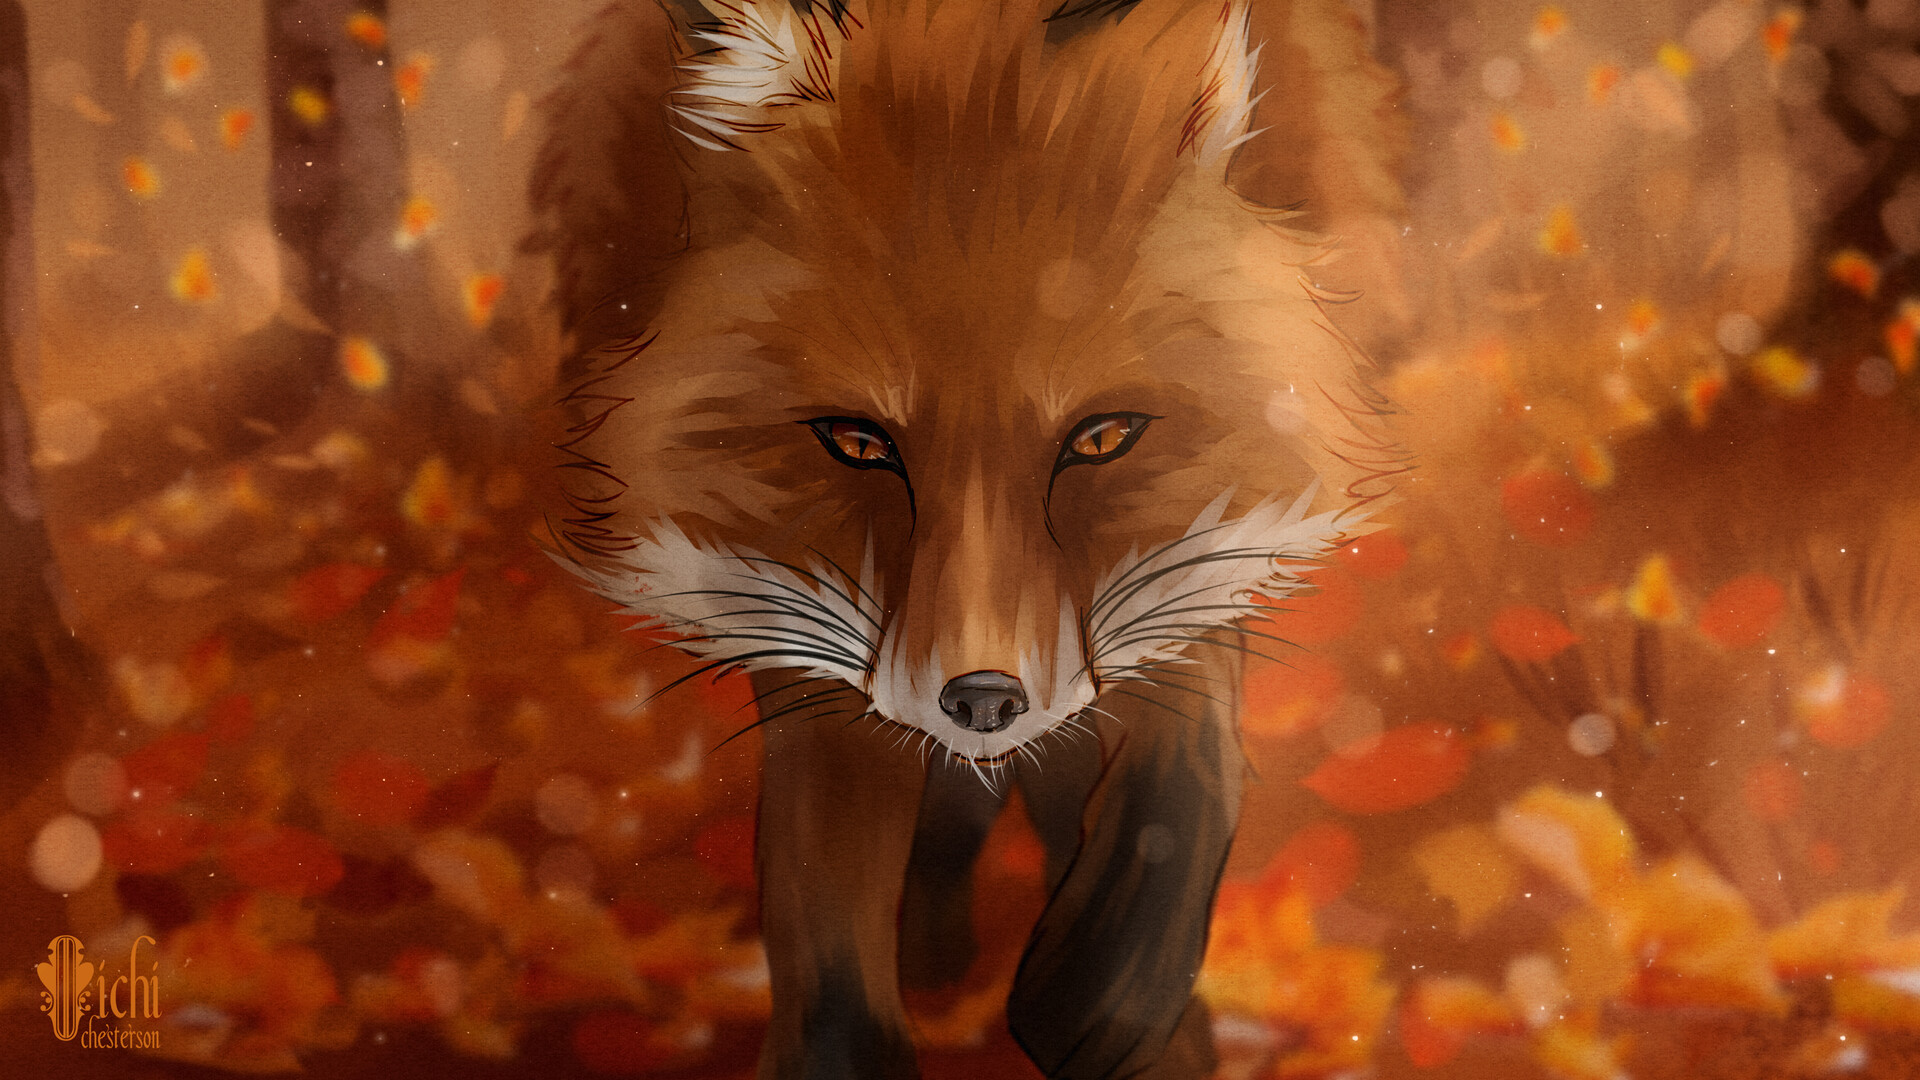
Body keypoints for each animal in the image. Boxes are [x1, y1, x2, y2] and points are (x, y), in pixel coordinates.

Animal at [529, 0, 1404, 1075]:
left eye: (1101, 439)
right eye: (858, 443)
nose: (983, 700)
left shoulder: (1194, 556)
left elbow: (1181, 778)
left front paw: (1110, 999)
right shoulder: (805, 626)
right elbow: (825, 903)